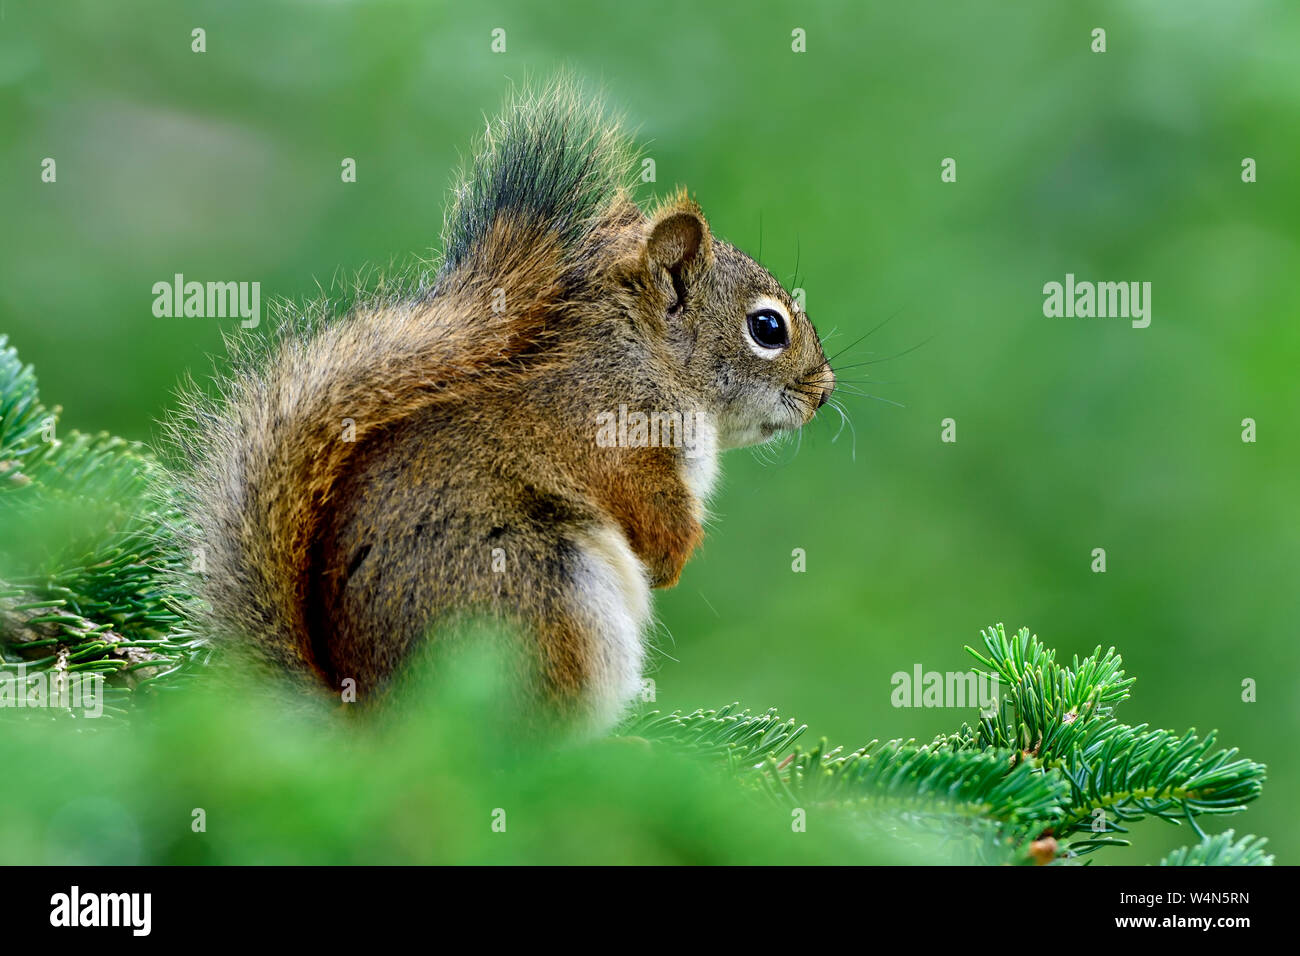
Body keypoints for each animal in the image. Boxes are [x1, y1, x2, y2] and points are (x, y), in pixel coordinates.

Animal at [169, 82, 834, 733]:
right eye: (768, 327)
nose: (823, 392)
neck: (647, 359)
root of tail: (370, 718)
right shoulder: (609, 430)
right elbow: (642, 499)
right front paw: (673, 559)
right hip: (548, 597)